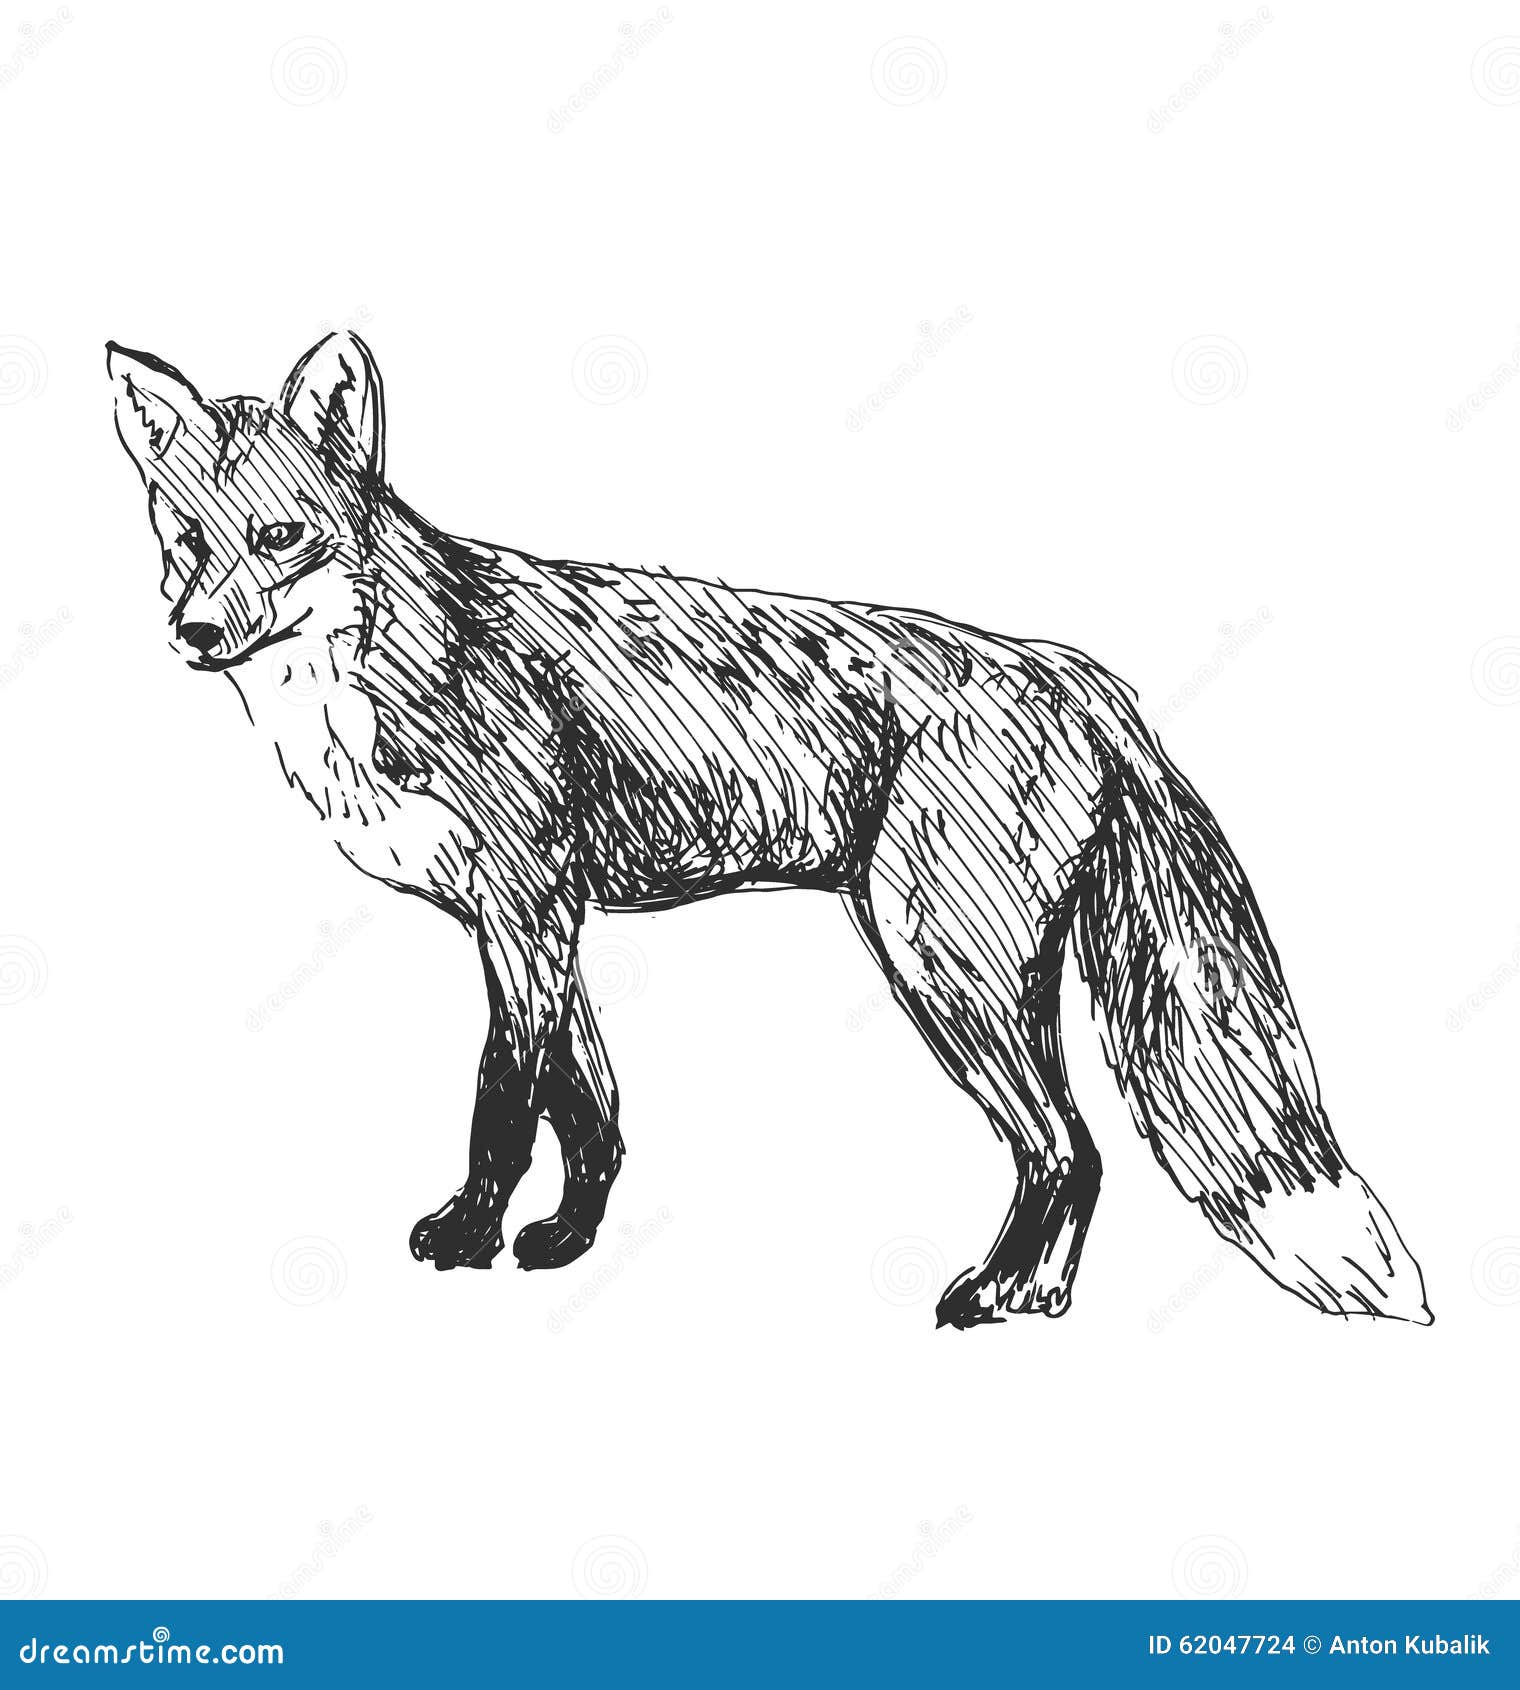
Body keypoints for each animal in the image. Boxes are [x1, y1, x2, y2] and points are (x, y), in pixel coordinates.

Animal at [106, 331, 1430, 1328]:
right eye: (185, 545)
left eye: (279, 538)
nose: (195, 633)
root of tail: (1073, 670)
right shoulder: (534, 924)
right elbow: (588, 1107)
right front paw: (566, 1241)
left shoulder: (527, 908)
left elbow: (501, 1105)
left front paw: (471, 1234)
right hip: (981, 977)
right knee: (1084, 1151)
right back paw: (1039, 1298)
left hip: (940, 969)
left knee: (1062, 1146)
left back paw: (987, 1294)